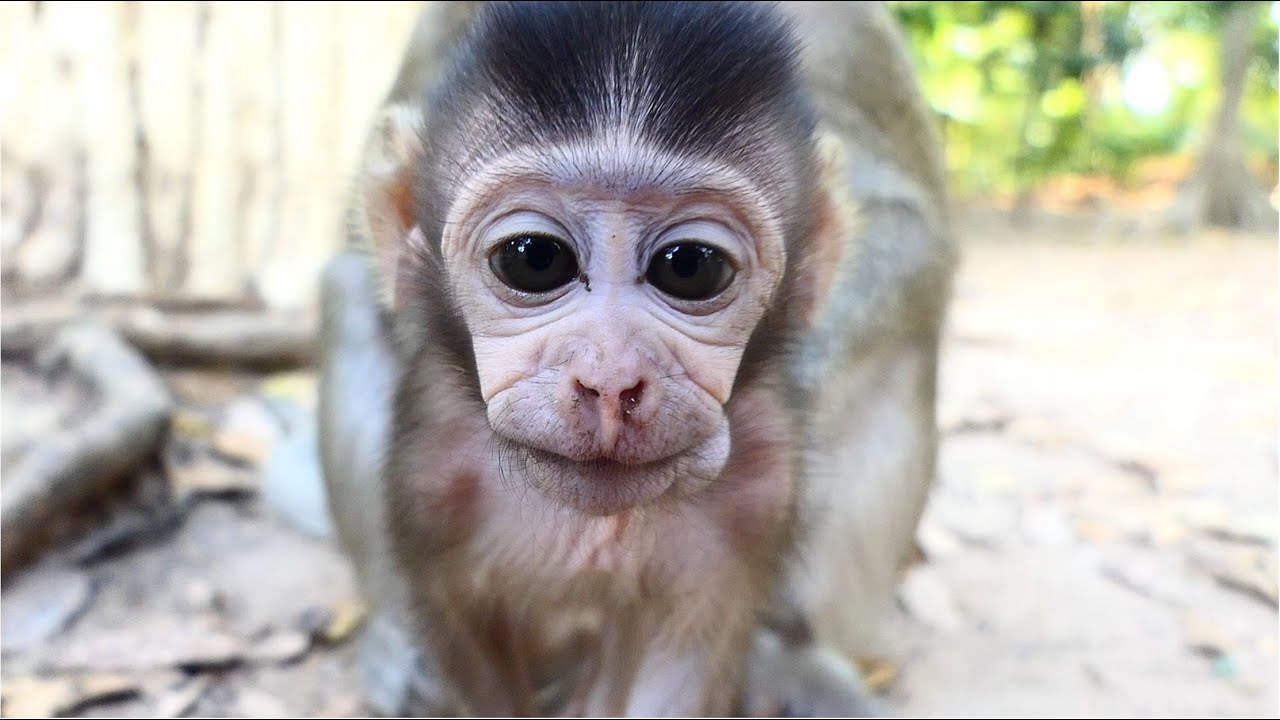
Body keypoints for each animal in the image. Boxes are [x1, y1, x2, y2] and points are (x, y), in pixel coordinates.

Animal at [318, 1, 955, 716]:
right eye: (533, 258)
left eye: (691, 267)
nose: (610, 377)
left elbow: (912, 226)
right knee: (347, 293)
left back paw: (792, 661)